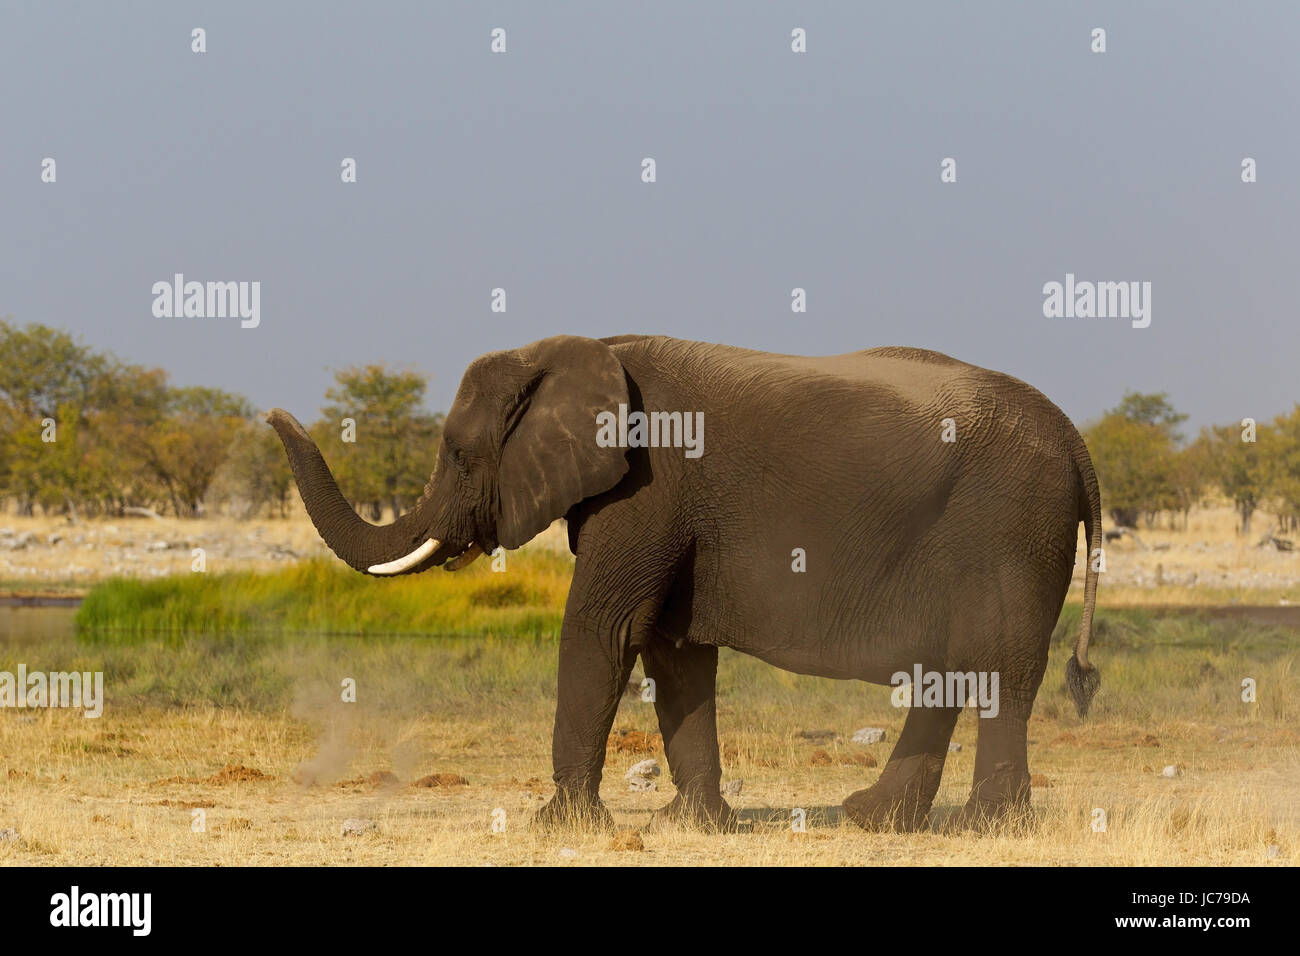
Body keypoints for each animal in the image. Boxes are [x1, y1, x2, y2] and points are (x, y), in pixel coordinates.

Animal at [267, 334, 1102, 833]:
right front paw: (691, 826)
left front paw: (558, 825)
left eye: (462, 454)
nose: (272, 411)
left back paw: (988, 829)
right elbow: (671, 650)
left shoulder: (647, 483)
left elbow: (602, 629)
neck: (573, 350)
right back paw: (876, 819)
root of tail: (1076, 441)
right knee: (949, 672)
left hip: (1011, 524)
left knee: (998, 668)